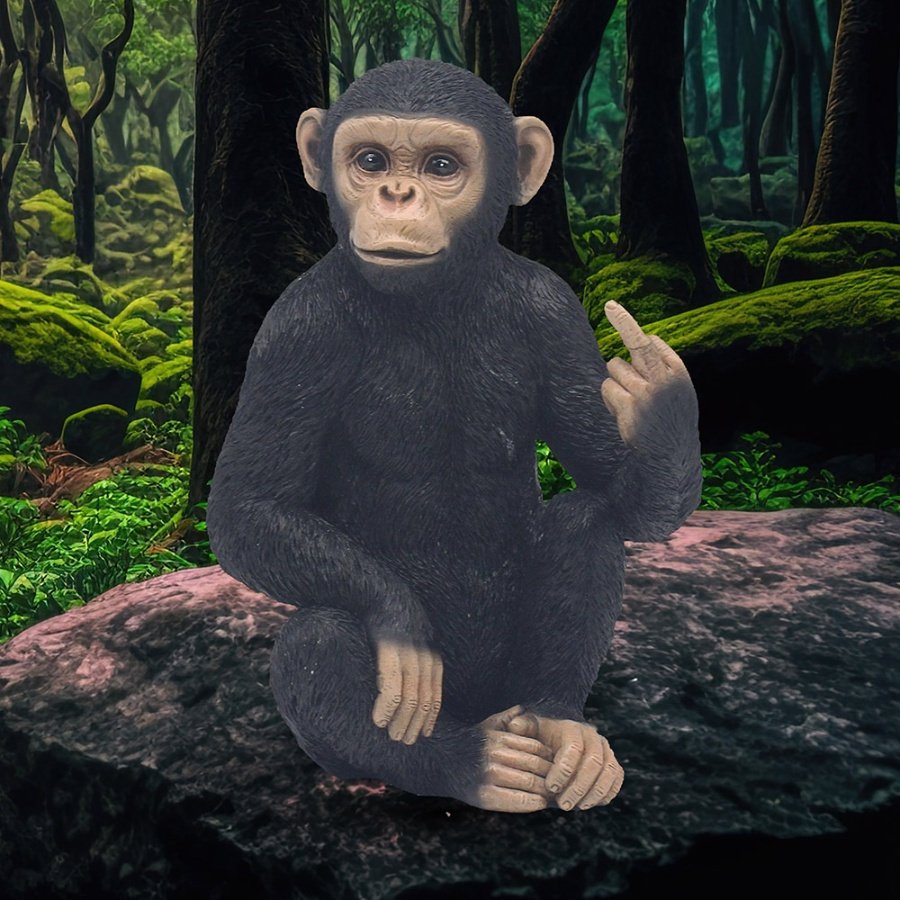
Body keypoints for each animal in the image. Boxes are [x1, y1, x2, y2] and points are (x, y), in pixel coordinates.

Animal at [206, 59, 702, 813]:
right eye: (371, 160)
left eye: (442, 166)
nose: (398, 193)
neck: (433, 299)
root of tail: (479, 711)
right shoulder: (297, 330)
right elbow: (246, 507)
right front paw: (403, 627)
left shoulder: (553, 308)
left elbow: (608, 480)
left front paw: (658, 408)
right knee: (317, 641)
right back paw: (470, 764)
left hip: (508, 684)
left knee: (586, 519)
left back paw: (560, 724)